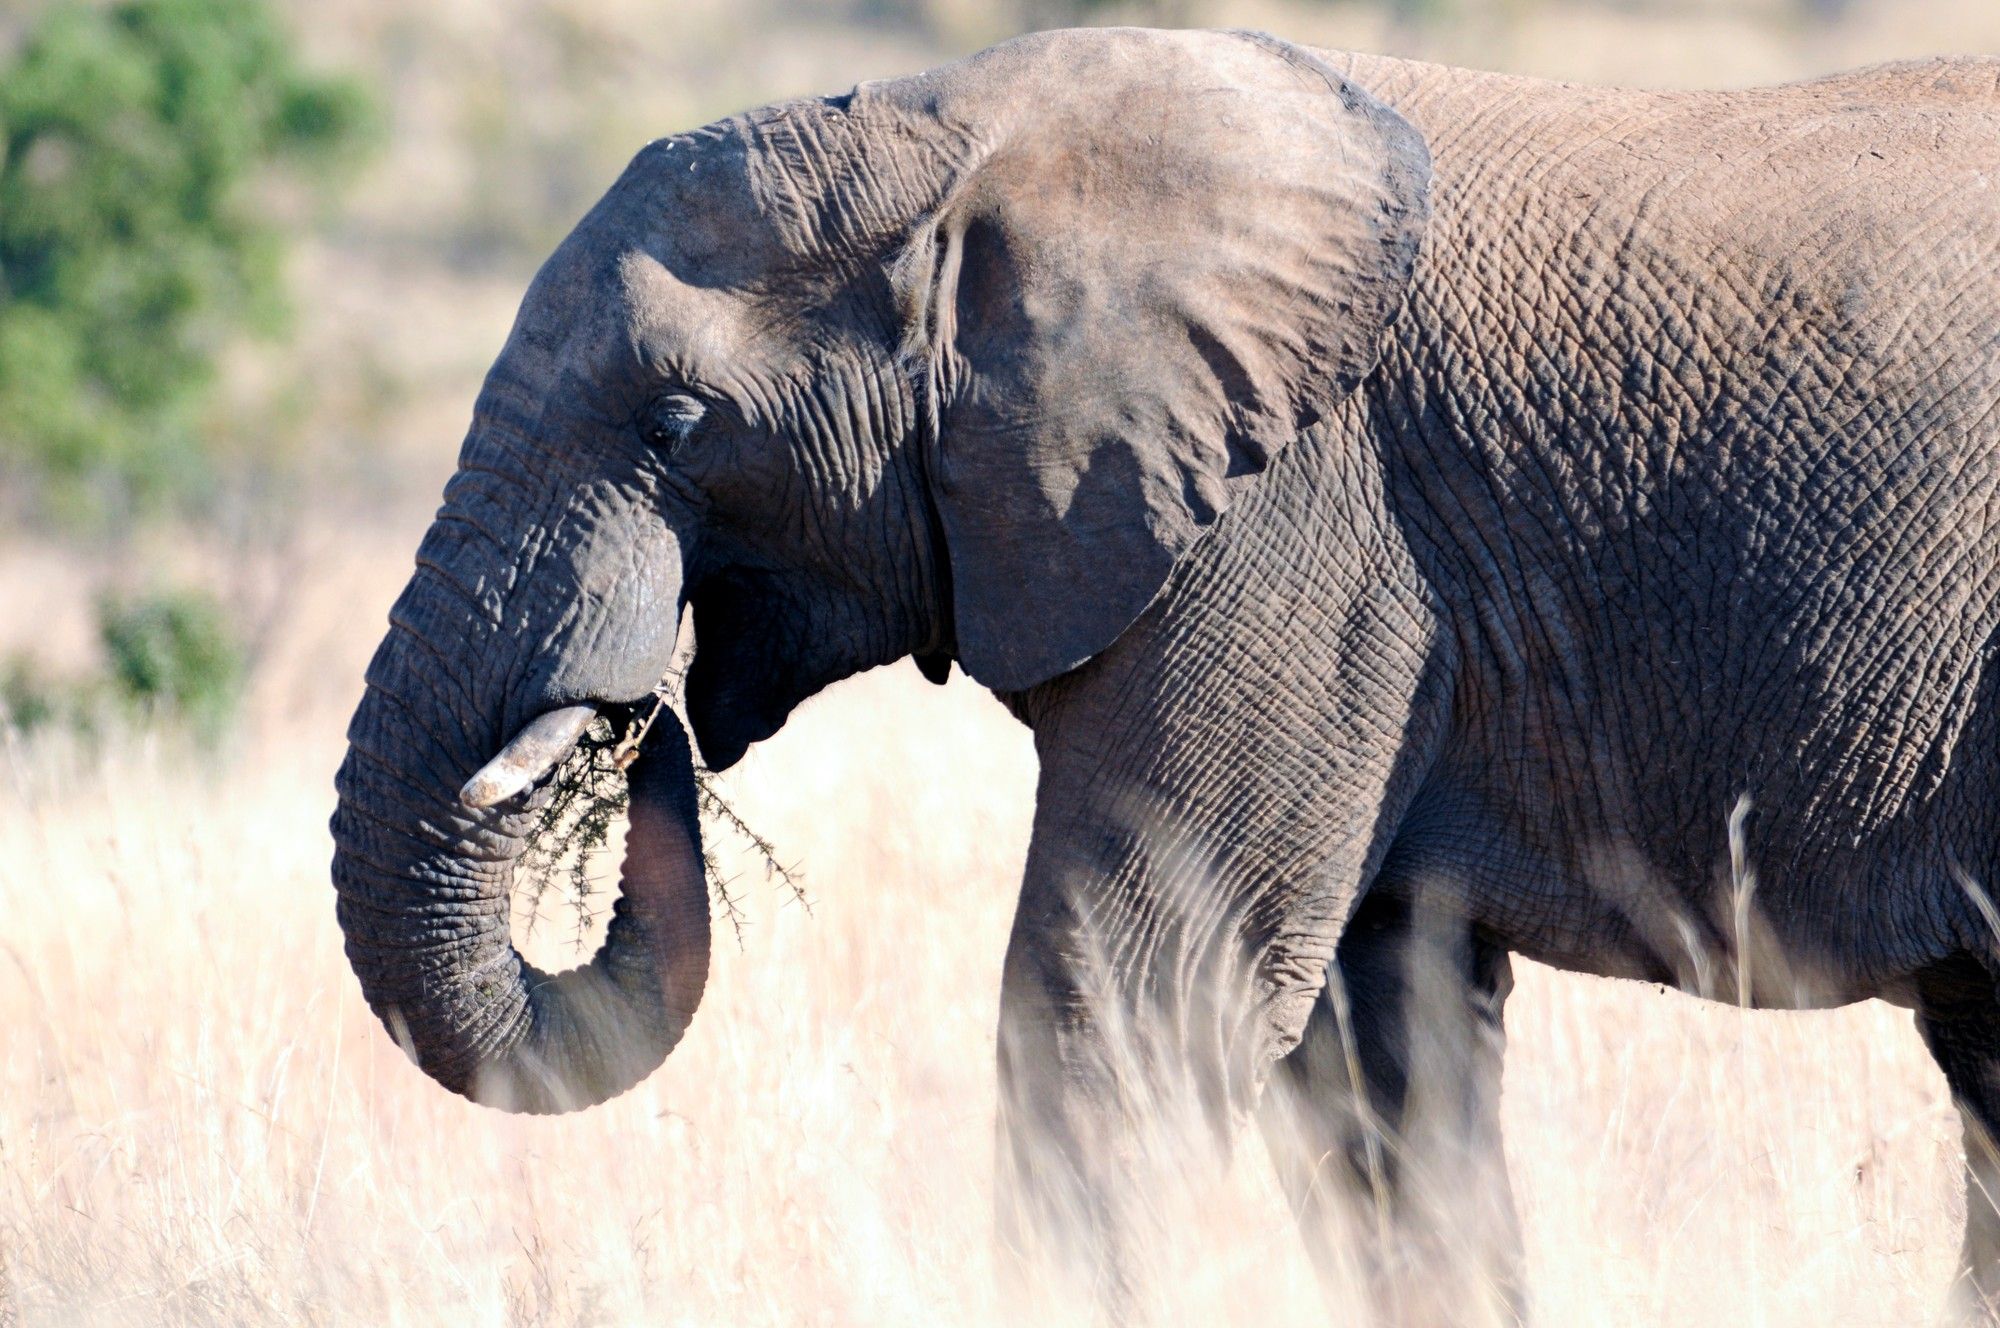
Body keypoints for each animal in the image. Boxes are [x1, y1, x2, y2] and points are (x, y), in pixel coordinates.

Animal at [328, 25, 2000, 1322]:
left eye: (674, 425)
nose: (647, 725)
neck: (963, 134)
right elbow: (1376, 1061)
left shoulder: (1299, 525)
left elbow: (1131, 1001)